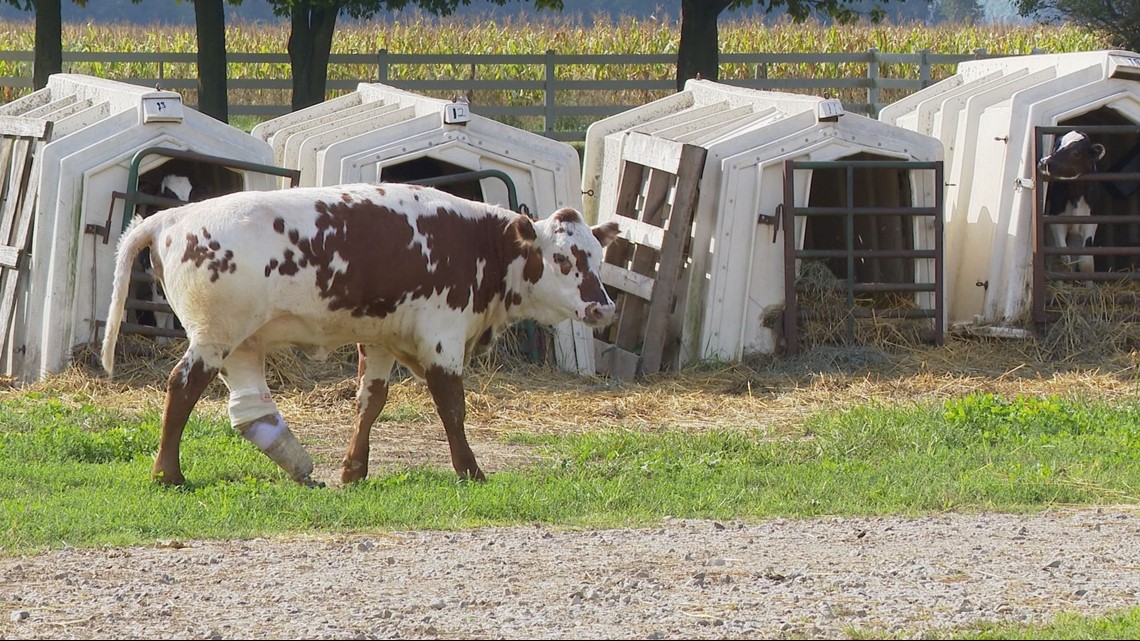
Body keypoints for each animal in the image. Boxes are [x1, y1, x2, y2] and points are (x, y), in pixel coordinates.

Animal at [100, 183, 620, 487]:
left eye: (598, 256)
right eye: (563, 259)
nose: (603, 307)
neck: (480, 243)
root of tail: (169, 218)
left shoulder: (381, 338)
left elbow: (370, 402)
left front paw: (354, 470)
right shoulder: (443, 337)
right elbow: (452, 407)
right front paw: (470, 470)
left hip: (240, 342)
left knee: (248, 409)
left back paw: (297, 465)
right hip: (215, 335)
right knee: (182, 388)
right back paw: (168, 473)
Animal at [1038, 130, 1106, 274]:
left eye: (1076, 152)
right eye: (1056, 146)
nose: (1043, 162)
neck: (1077, 195)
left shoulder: (1091, 223)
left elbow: (1086, 262)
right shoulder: (1055, 220)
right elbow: (1065, 259)